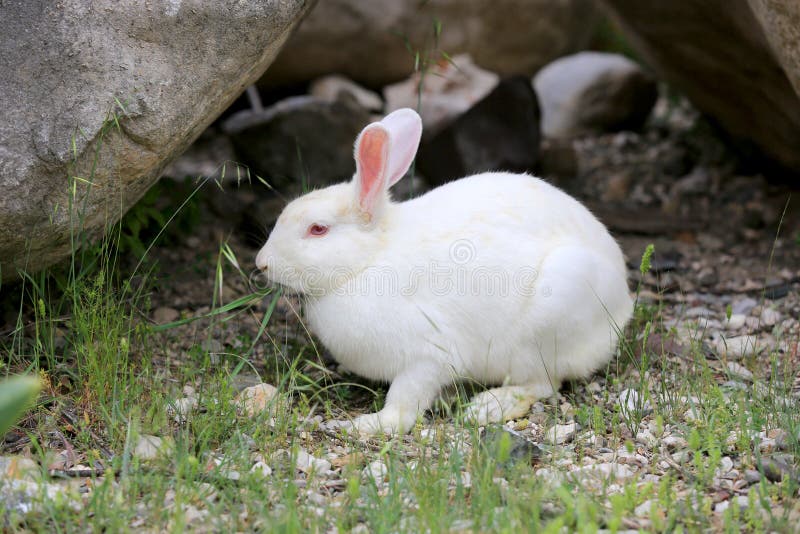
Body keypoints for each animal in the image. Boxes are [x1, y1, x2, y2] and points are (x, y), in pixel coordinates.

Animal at [255, 108, 633, 435]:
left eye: (317, 229)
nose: (262, 263)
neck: (368, 260)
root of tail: (622, 306)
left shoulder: (428, 356)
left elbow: (404, 401)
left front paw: (369, 425)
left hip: (544, 328)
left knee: (543, 383)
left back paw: (486, 407)